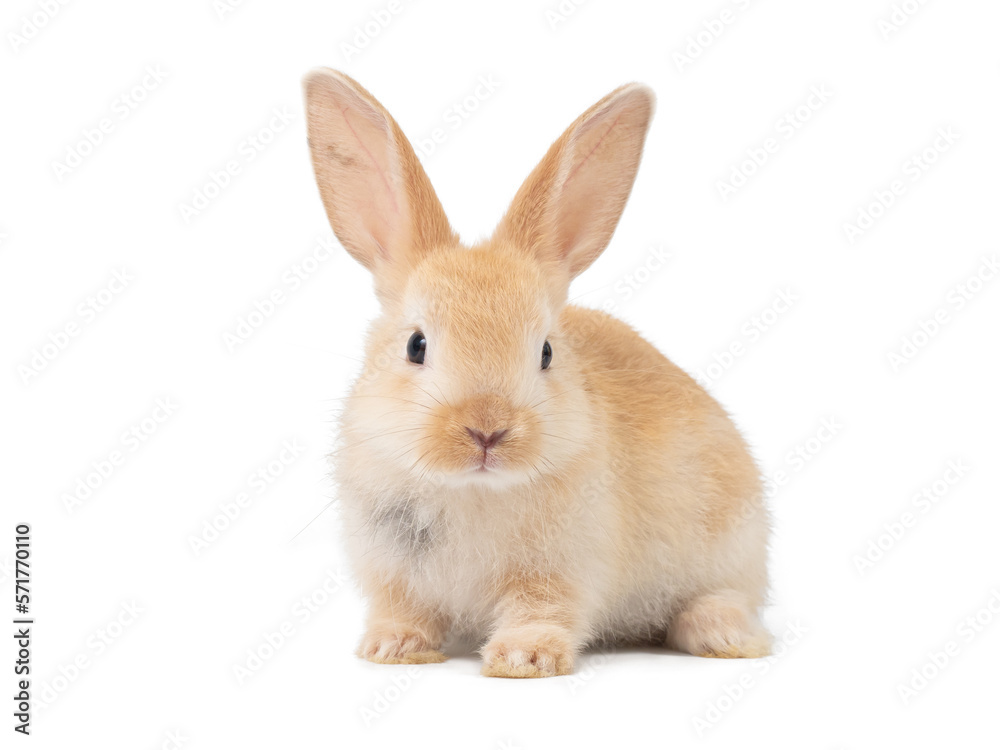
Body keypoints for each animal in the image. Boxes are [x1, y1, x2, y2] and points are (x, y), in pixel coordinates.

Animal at [303, 68, 772, 678]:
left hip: (731, 545)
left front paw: (523, 658)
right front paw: (392, 649)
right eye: (416, 345)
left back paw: (724, 635)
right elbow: (404, 608)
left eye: (546, 352)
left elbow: (541, 608)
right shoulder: (393, 571)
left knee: (724, 598)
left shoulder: (560, 569)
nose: (487, 430)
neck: (475, 490)